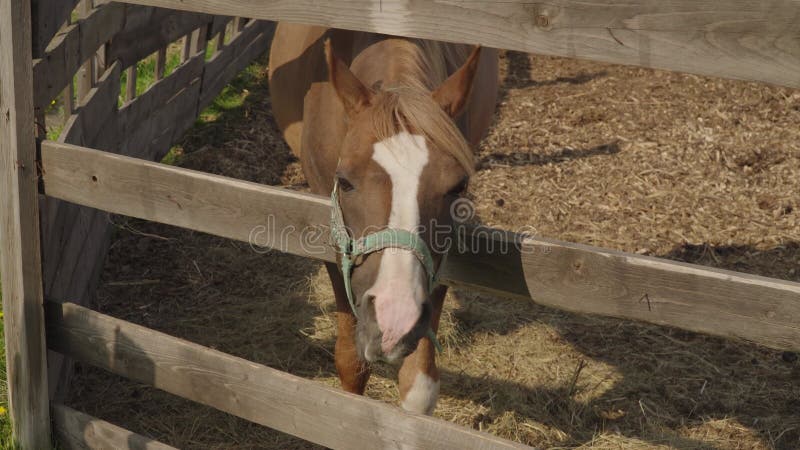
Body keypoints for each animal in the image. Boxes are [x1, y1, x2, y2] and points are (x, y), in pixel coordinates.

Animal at [268, 24, 498, 415]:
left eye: (458, 186)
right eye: (344, 181)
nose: (394, 320)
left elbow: (420, 385)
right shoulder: (335, 249)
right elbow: (352, 363)